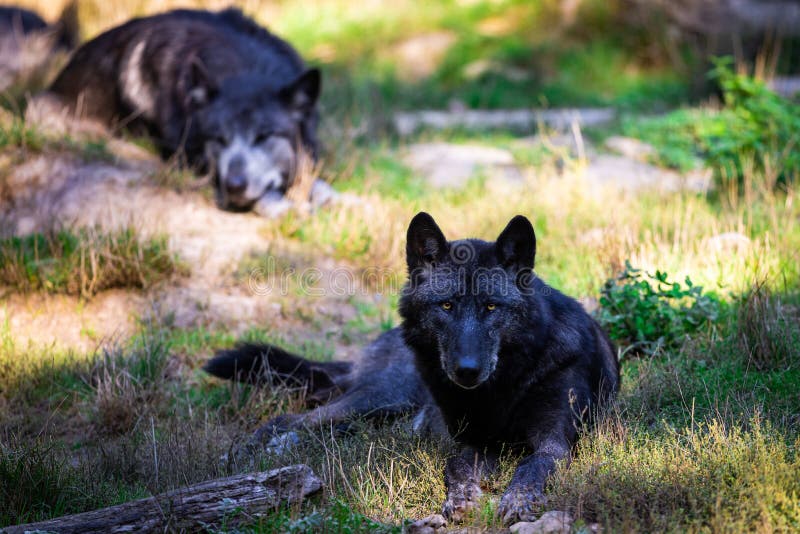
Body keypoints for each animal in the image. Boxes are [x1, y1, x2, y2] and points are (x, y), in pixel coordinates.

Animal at [43, 8, 322, 213]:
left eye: (264, 137)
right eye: (218, 139)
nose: (234, 186)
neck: (245, 67)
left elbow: (315, 179)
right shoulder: (187, 158)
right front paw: (282, 206)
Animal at [204, 212, 620, 524]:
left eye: (490, 307)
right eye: (447, 306)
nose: (467, 371)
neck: (503, 387)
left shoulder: (555, 443)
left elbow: (532, 466)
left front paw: (516, 501)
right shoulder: (475, 442)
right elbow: (456, 465)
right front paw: (462, 499)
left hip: (378, 415)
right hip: (378, 400)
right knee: (289, 420)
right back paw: (248, 454)